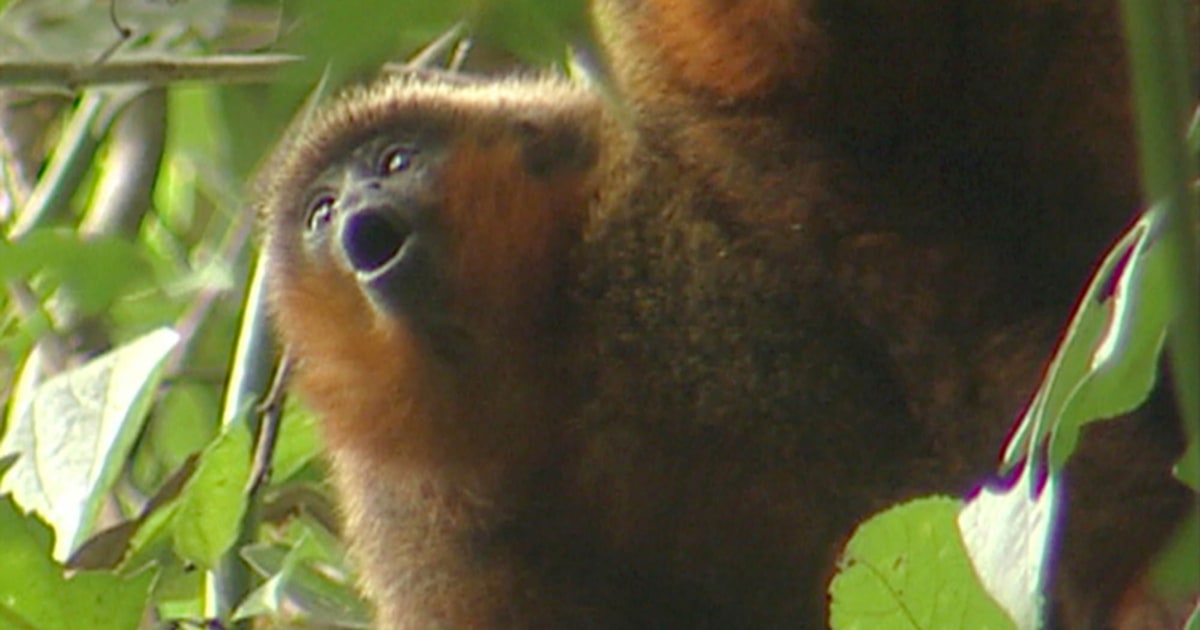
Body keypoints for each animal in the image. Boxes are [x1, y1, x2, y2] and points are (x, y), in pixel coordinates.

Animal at [259, 1, 1197, 627]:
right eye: (320, 211)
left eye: (394, 161)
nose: (355, 220)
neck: (550, 355)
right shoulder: (427, 534)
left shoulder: (677, 220)